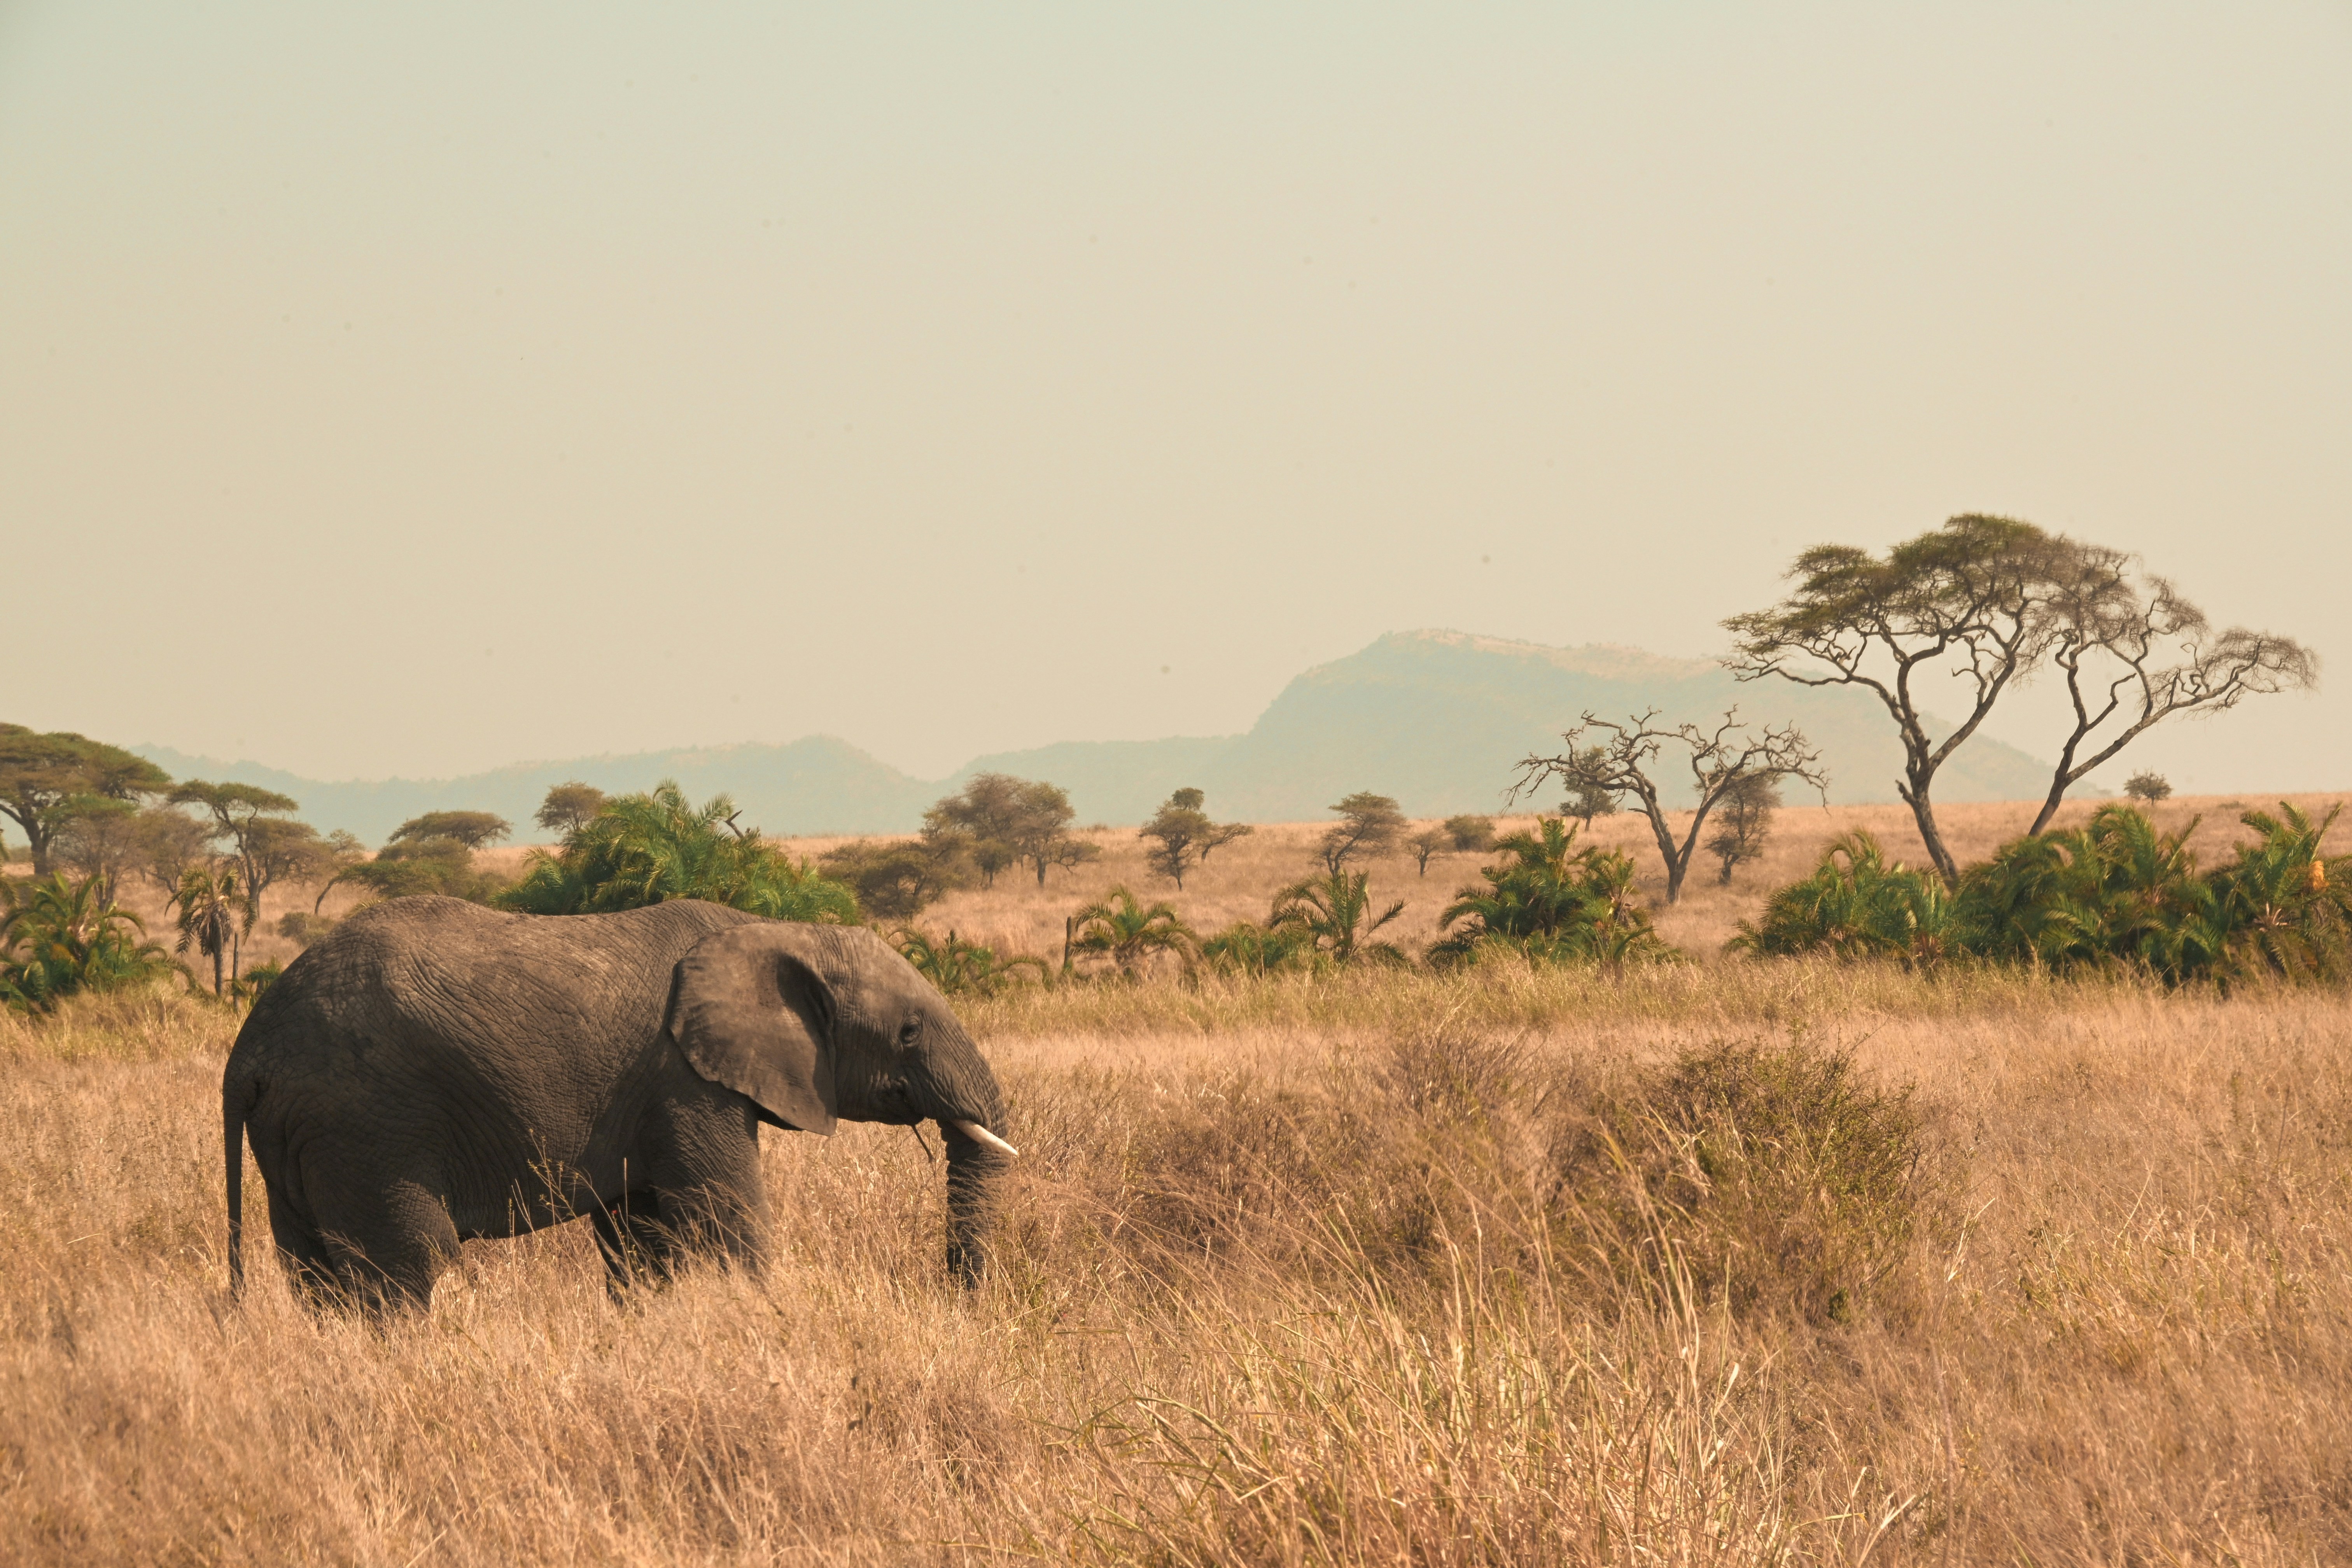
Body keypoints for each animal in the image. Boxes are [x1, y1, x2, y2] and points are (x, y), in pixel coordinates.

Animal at [221, 896, 1018, 1312]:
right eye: (908, 1031)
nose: (959, 1301)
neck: (772, 931)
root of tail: (248, 1051)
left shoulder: (652, 1098)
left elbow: (642, 1239)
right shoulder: (686, 1082)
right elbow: (727, 1220)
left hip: (298, 1136)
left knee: (314, 1273)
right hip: (364, 1126)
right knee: (406, 1266)